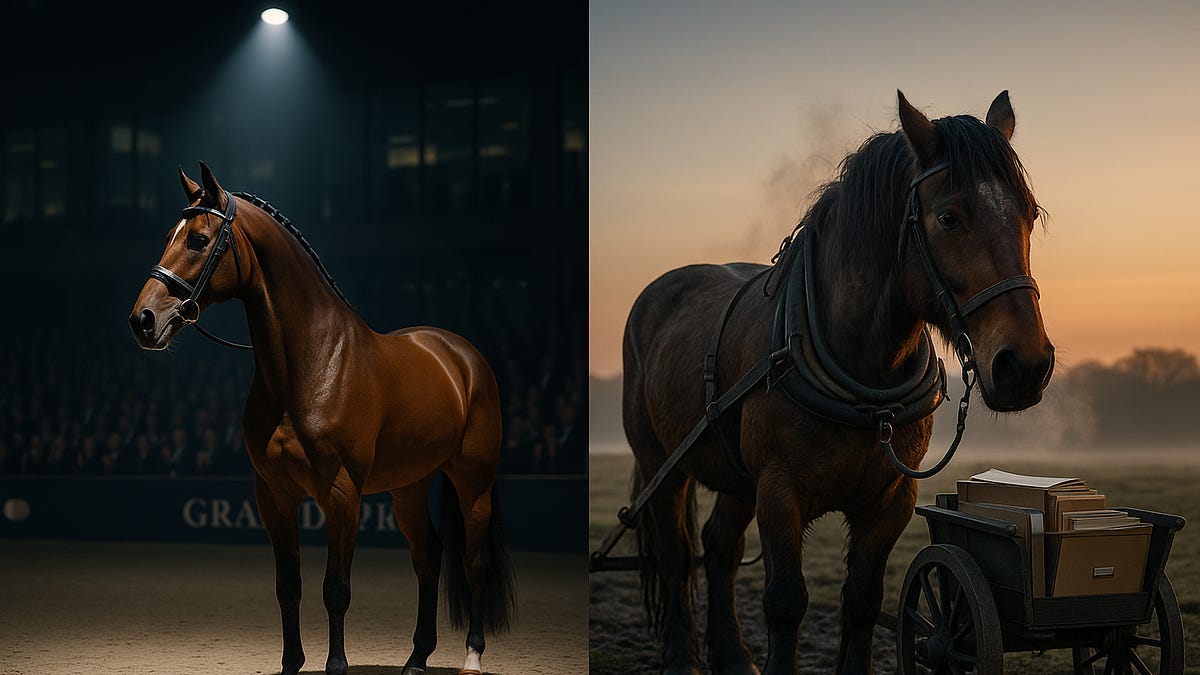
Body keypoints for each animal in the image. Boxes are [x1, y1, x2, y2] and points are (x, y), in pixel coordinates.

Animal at [128, 163, 515, 675]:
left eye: (198, 239)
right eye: (169, 236)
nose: (144, 320)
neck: (311, 365)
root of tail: (465, 357)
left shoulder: (341, 495)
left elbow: (336, 589)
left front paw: (336, 665)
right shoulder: (274, 496)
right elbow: (288, 586)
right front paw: (292, 663)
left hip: (473, 483)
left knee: (472, 561)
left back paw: (471, 655)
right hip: (409, 487)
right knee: (428, 557)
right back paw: (416, 656)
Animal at [621, 91, 1054, 675]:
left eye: (1029, 214)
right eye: (948, 217)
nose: (1025, 365)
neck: (864, 380)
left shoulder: (889, 500)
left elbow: (862, 601)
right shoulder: (778, 491)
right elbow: (785, 602)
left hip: (736, 477)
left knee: (719, 550)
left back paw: (733, 656)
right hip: (659, 464)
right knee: (674, 556)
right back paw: (678, 658)